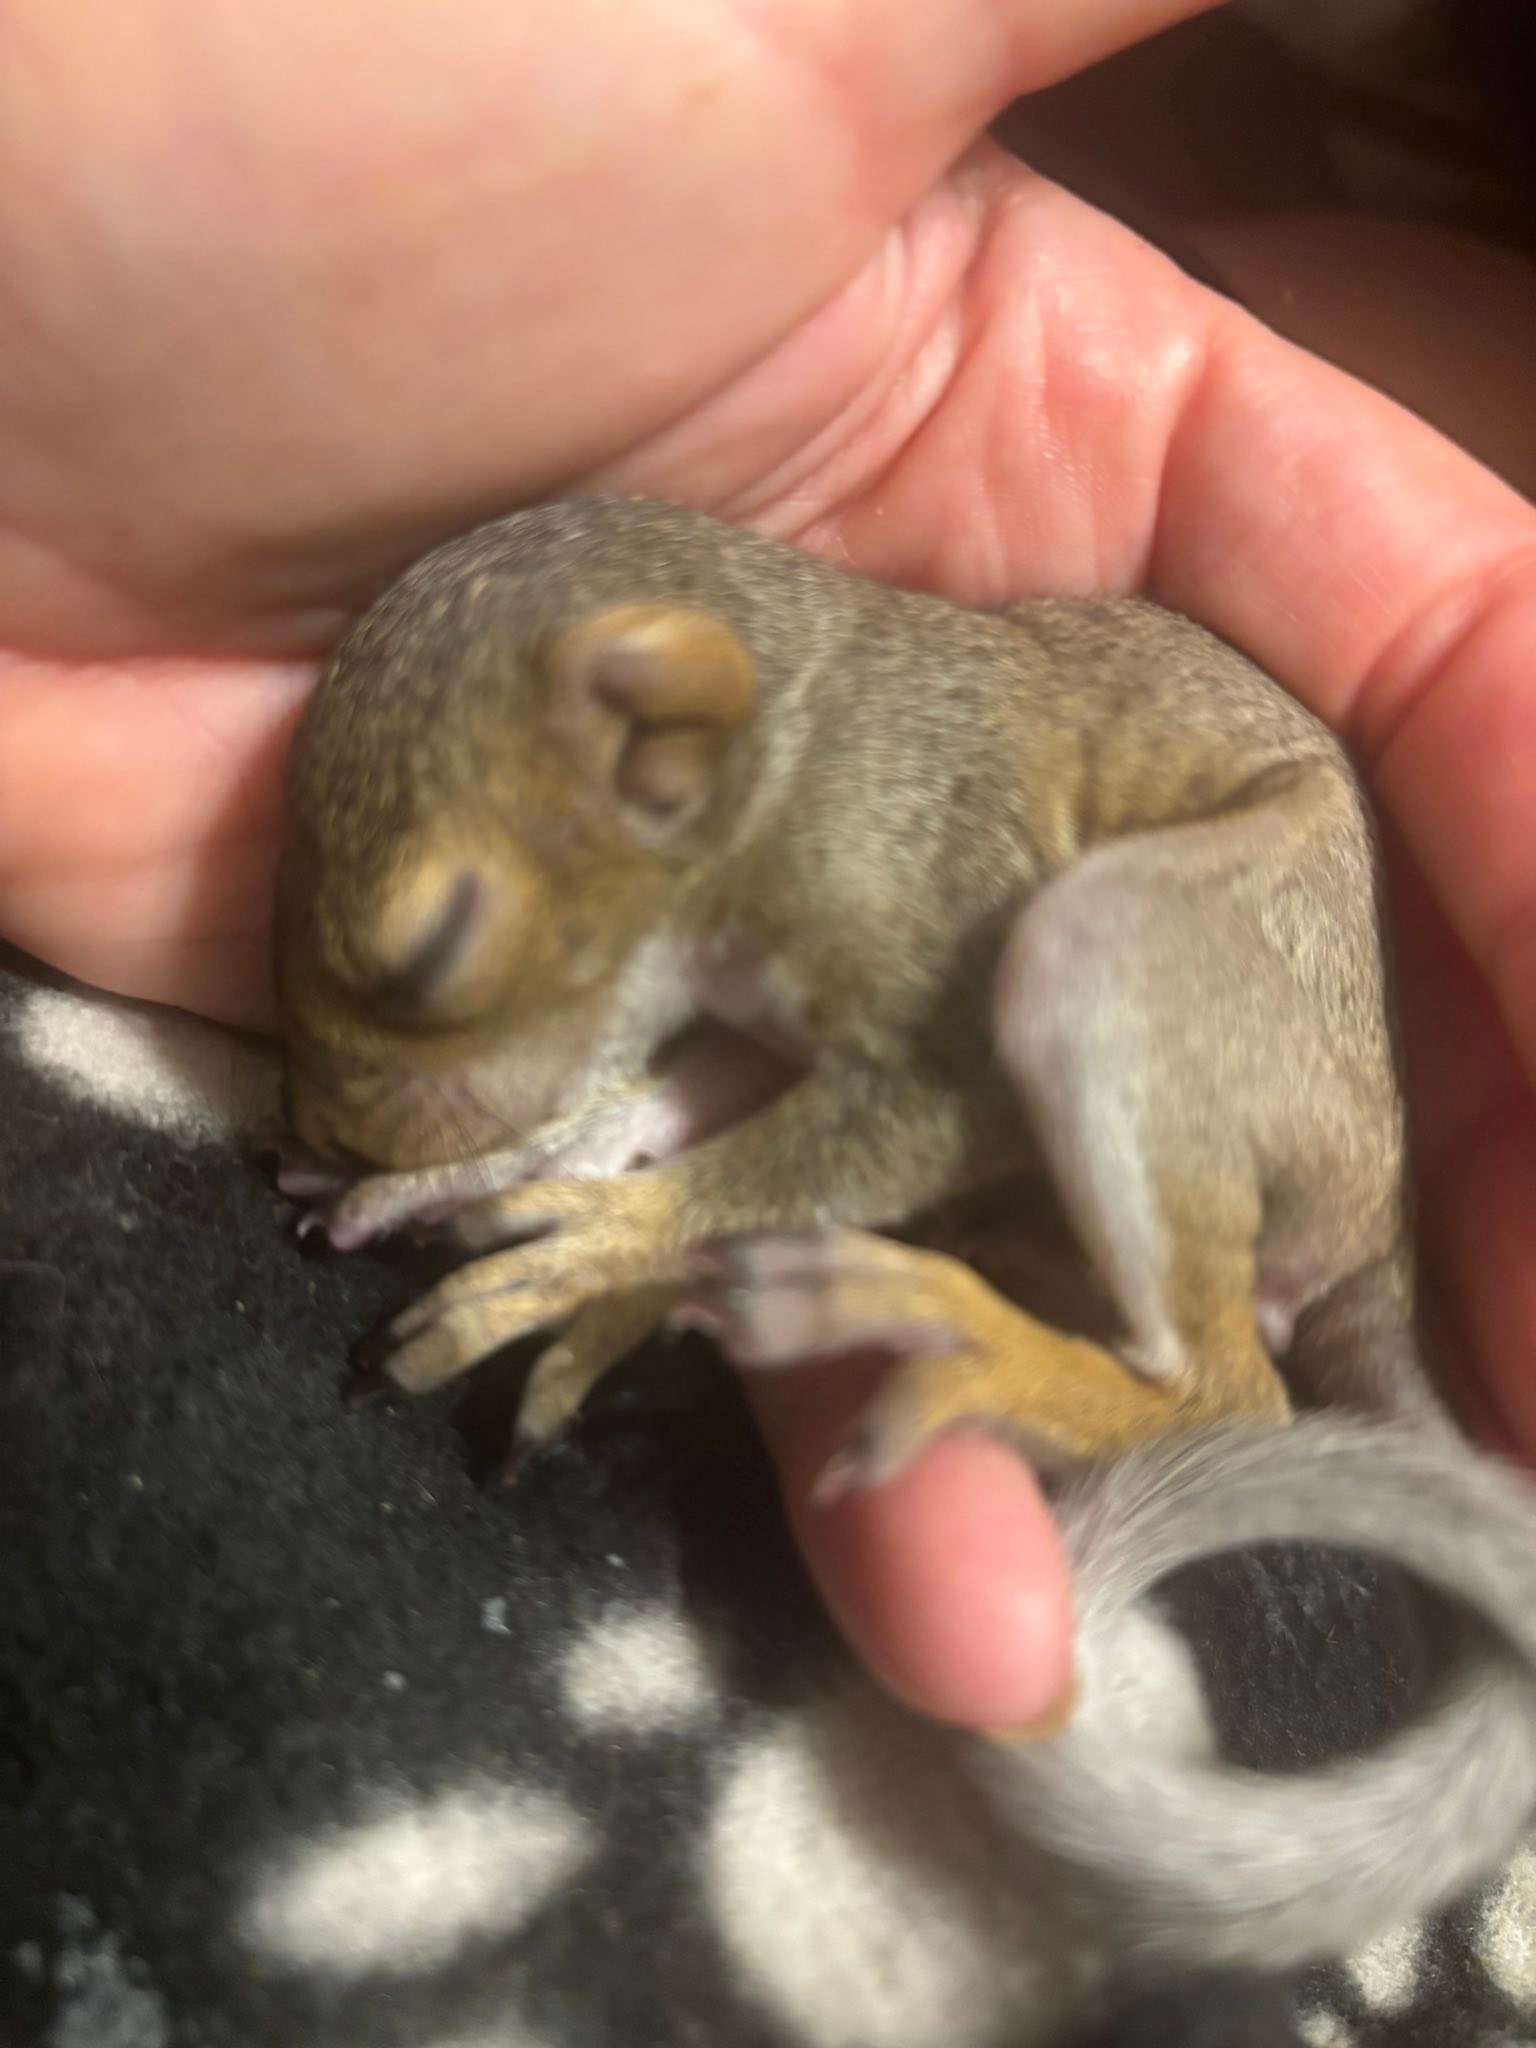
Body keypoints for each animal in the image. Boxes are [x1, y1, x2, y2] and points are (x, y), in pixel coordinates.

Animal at [271, 495, 1536, 1976]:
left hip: (1128, 946)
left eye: (438, 944)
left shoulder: (921, 906)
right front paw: (519, 1197)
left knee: (1228, 1386)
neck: (785, 760)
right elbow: (671, 1117)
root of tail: (1386, 1239)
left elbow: (886, 1115)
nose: (324, 1120)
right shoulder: (757, 1019)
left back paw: (937, 1328)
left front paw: (585, 1250)